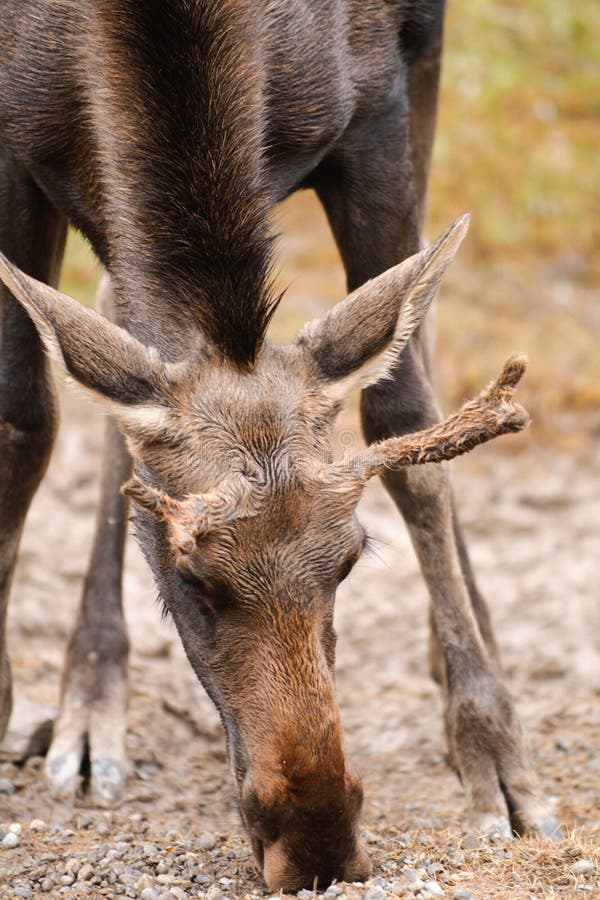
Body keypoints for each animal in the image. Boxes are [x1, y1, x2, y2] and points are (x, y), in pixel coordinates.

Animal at [0, 0, 559, 891]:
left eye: (352, 559)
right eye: (192, 579)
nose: (319, 844)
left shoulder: (377, 104)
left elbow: (405, 412)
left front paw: (497, 759)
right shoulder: (13, 145)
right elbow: (24, 419)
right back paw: (92, 707)